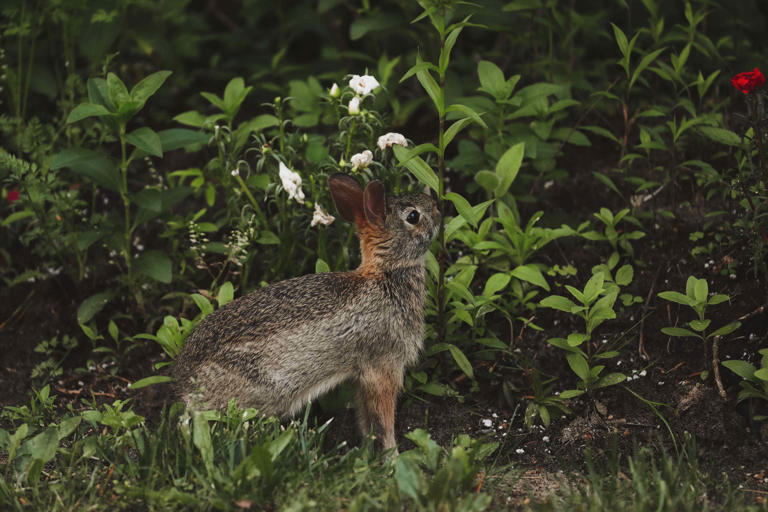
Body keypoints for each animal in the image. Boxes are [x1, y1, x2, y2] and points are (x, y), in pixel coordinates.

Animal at [173, 173, 440, 451]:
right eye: (413, 216)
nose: (437, 209)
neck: (385, 273)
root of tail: (186, 384)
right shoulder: (383, 367)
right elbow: (382, 420)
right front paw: (391, 454)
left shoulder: (360, 376)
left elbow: (365, 419)